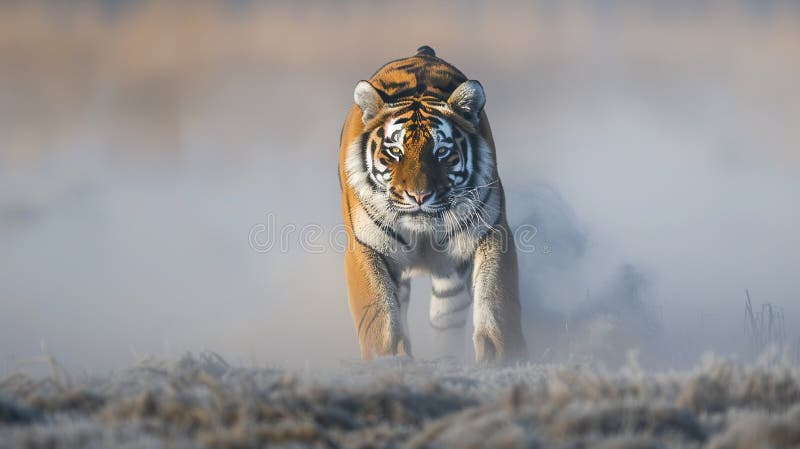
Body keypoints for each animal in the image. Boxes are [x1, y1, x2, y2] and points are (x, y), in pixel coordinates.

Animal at [338, 45, 527, 364]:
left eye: (441, 152)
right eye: (395, 151)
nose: (419, 196)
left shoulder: (491, 233)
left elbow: (495, 295)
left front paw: (504, 355)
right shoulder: (366, 244)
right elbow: (379, 311)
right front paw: (387, 358)